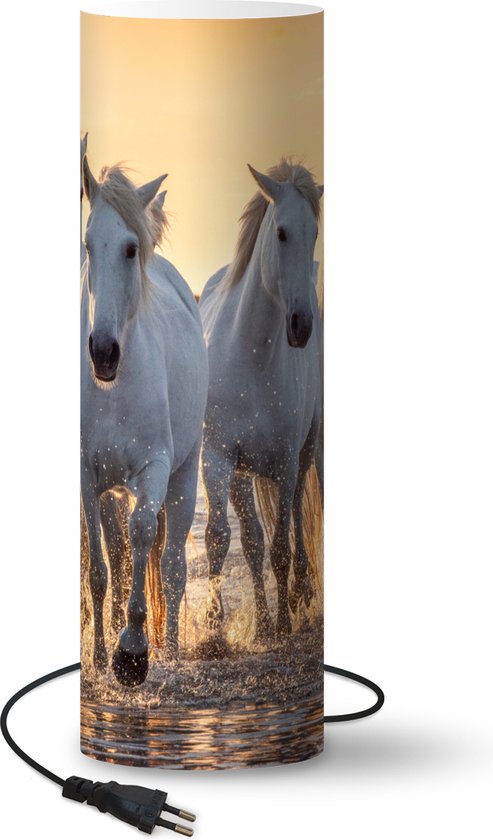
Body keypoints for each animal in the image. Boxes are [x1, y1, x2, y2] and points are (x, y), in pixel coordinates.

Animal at [199, 159, 323, 648]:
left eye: (314, 233)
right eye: (282, 233)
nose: (301, 325)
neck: (250, 354)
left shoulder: (285, 463)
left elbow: (281, 546)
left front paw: (286, 622)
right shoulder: (218, 458)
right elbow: (221, 537)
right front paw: (213, 633)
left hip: (309, 450)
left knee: (294, 522)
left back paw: (300, 596)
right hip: (241, 473)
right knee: (250, 538)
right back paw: (266, 621)